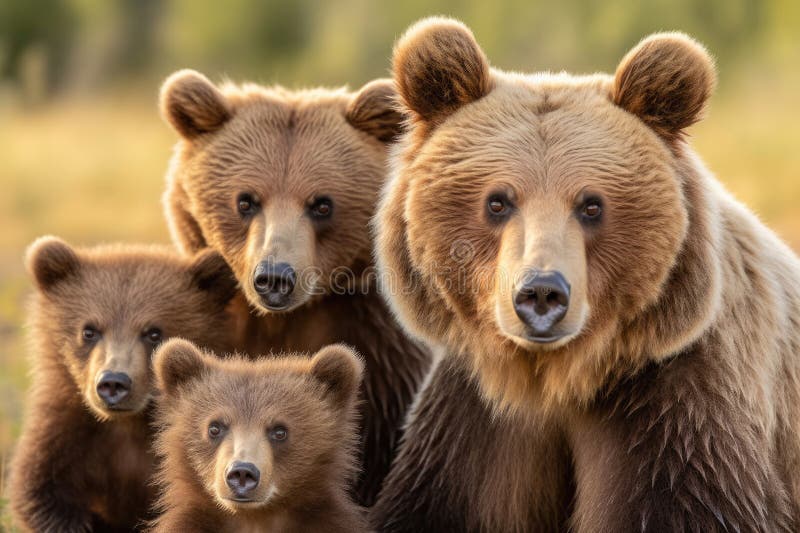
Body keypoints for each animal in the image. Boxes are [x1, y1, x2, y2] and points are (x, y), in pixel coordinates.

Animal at [8, 236, 238, 532]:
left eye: (154, 332)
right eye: (89, 330)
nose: (113, 383)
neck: (128, 425)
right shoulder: (67, 434)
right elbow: (40, 490)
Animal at [371, 17, 800, 532]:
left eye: (591, 205)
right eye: (497, 201)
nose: (541, 293)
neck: (556, 381)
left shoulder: (681, 407)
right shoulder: (470, 426)